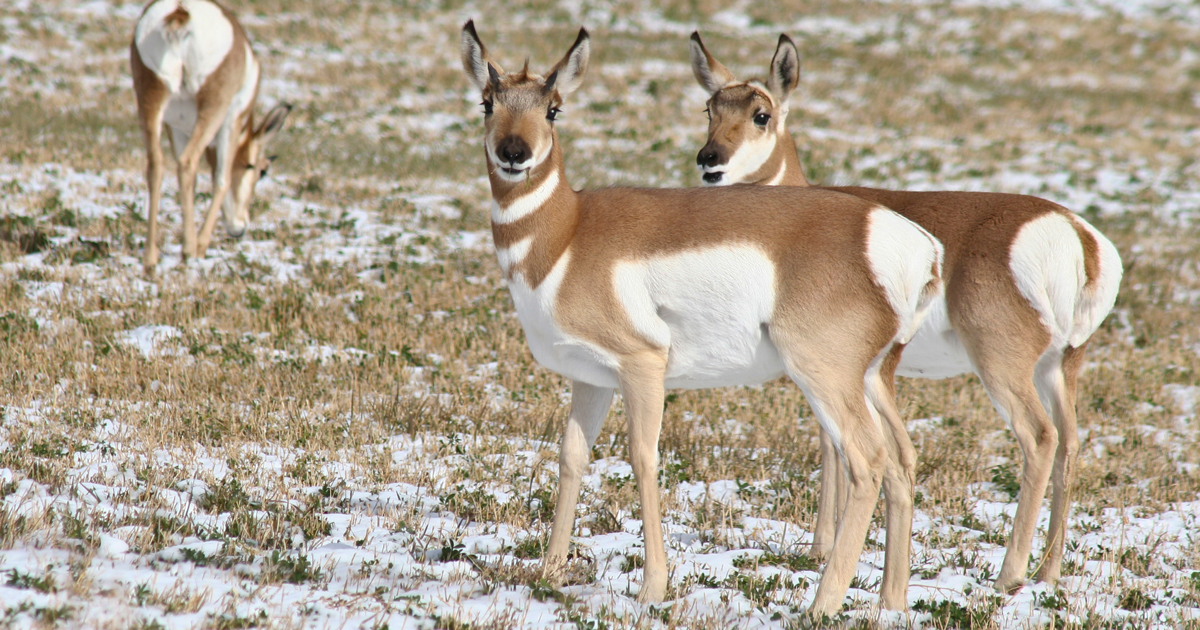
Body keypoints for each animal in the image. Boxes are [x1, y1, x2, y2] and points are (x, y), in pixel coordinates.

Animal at [131, 0, 292, 275]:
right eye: (261, 170)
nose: (240, 228)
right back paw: (189, 251)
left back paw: (151, 259)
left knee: (156, 165)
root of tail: (181, 12)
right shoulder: (232, 122)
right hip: (213, 108)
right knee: (188, 163)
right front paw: (200, 246)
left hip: (151, 99)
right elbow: (221, 179)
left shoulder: (177, 128)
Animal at [461, 20, 946, 614]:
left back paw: (822, 604)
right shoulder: (589, 377)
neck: (568, 234)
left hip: (824, 373)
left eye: (553, 108)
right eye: (487, 102)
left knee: (868, 459)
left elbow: (642, 458)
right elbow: (572, 456)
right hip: (874, 376)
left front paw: (653, 587)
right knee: (901, 458)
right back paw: (891, 601)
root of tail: (906, 240)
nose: (515, 152)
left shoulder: (642, 364)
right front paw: (550, 572)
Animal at [689, 31, 1123, 595]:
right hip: (1061, 365)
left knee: (1040, 437)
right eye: (710, 108)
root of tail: (1076, 234)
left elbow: (832, 444)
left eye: (761, 113)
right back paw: (1047, 571)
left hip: (1001, 364)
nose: (709, 159)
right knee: (1071, 442)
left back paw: (1009, 573)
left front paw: (821, 548)